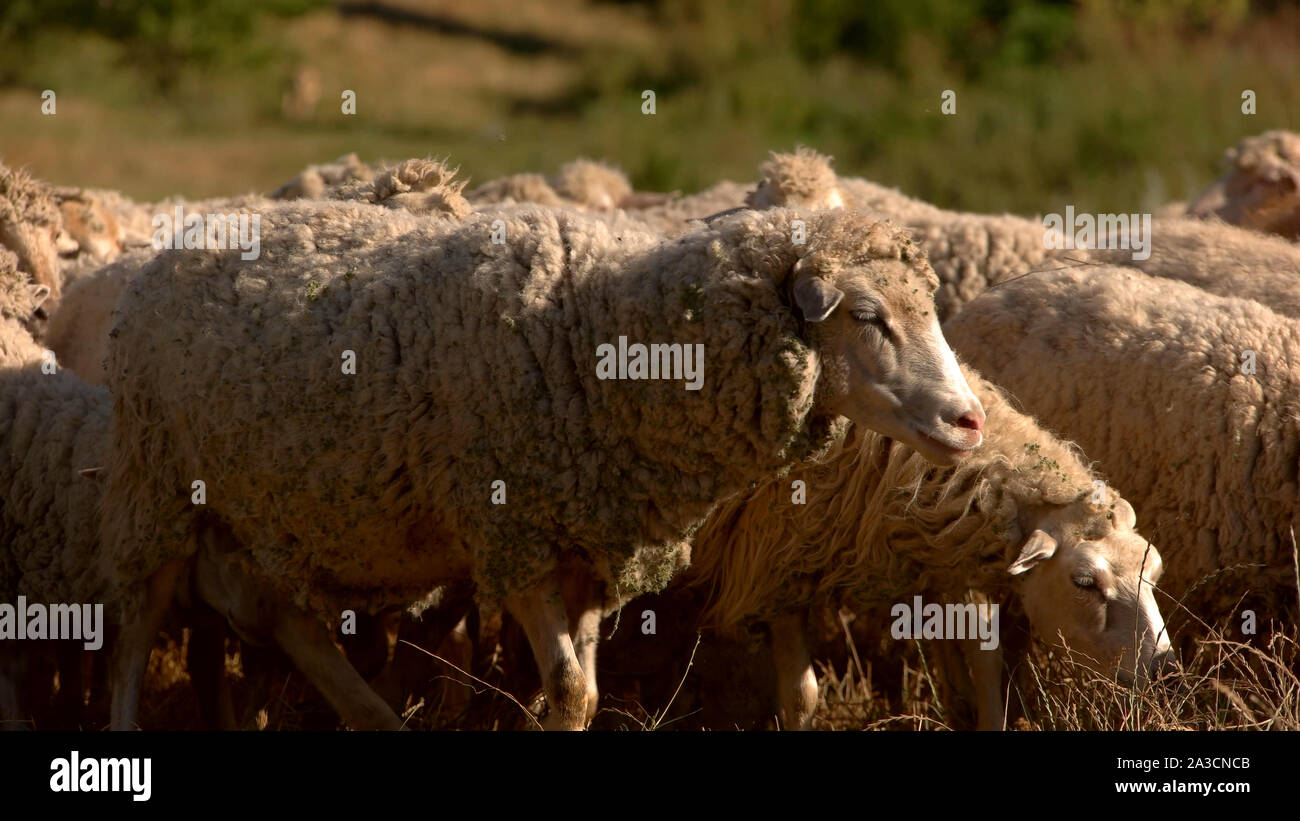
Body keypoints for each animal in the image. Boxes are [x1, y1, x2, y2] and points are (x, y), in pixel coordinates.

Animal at [99, 202, 986, 730]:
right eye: (867, 315)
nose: (969, 420)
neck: (607, 336)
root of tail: (179, 244)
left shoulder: (590, 548)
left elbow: (583, 686)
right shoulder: (514, 536)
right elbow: (569, 688)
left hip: (269, 505)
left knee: (283, 615)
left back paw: (372, 716)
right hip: (154, 486)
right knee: (137, 626)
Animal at [686, 365, 1170, 730]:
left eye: (1155, 572)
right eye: (1084, 582)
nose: (1163, 669)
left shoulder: (945, 555)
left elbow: (984, 660)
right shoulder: (775, 562)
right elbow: (802, 695)